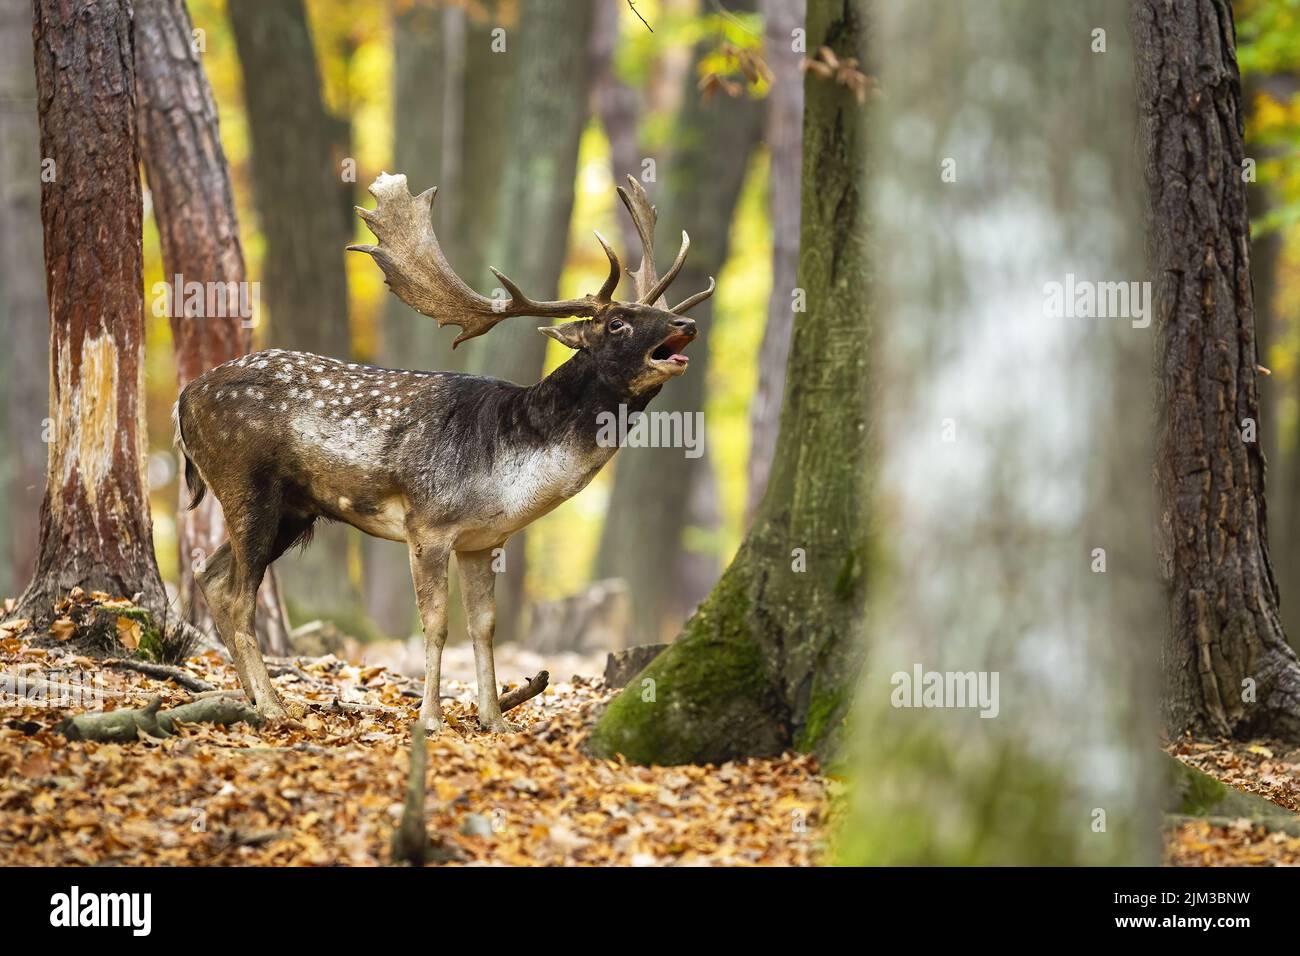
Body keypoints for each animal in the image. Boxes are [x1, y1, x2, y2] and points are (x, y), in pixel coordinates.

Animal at [173, 172, 712, 733]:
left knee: (212, 578)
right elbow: (434, 625)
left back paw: (252, 698)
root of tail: (182, 399)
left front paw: (494, 719)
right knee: (238, 597)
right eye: (617, 323)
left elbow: (484, 626)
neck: (508, 469)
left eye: (659, 310)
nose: (687, 325)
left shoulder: (483, 540)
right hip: (245, 483)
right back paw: (274, 707)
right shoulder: (427, 523)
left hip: (293, 510)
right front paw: (430, 718)